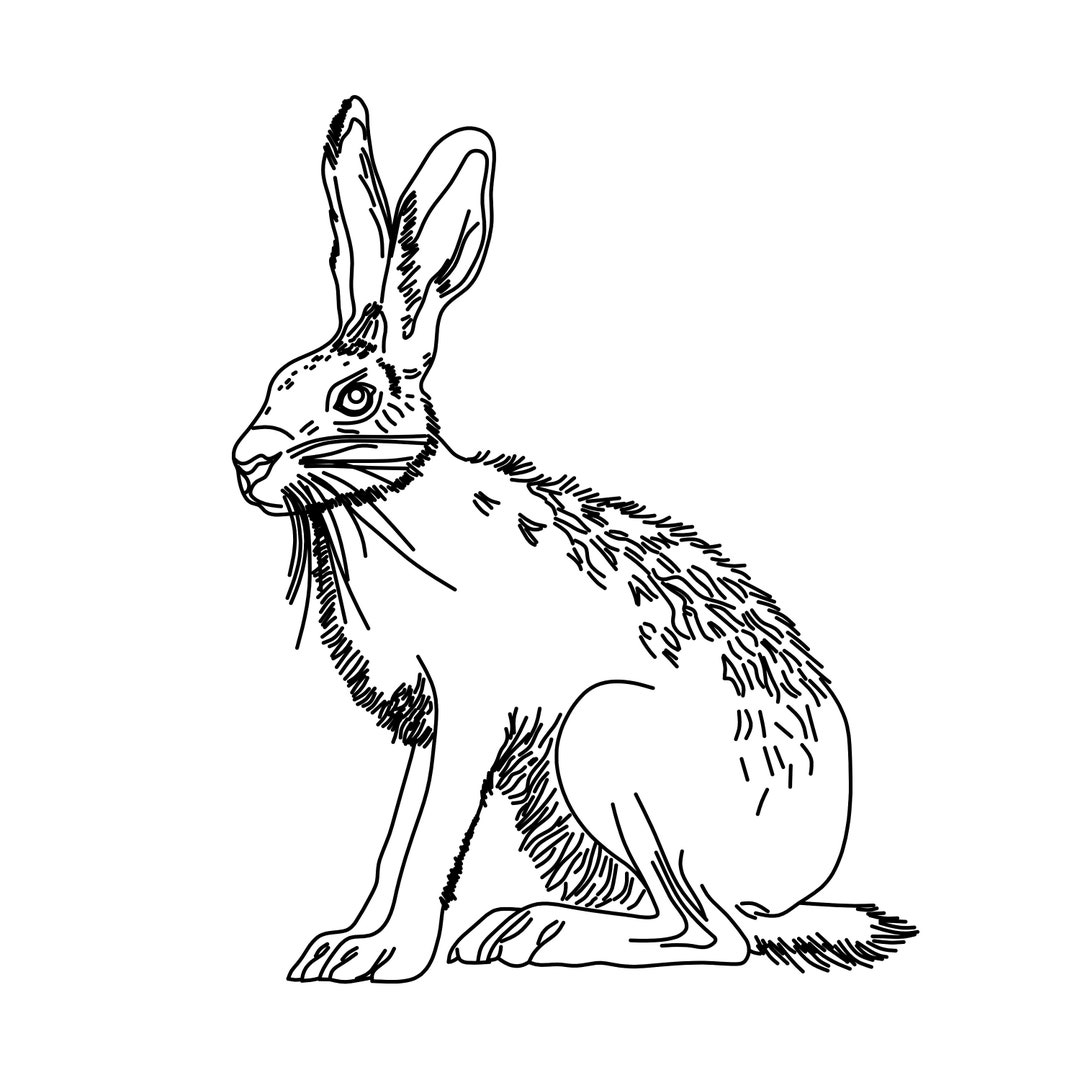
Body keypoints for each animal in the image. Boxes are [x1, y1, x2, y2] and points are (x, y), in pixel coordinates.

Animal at [232, 96, 916, 983]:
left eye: (354, 398)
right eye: (276, 381)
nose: (247, 462)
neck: (389, 503)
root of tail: (791, 885)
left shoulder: (472, 708)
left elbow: (429, 840)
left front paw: (385, 955)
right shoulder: (429, 729)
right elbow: (397, 838)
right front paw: (342, 945)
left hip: (607, 743)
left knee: (715, 936)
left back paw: (534, 933)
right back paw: (516, 926)